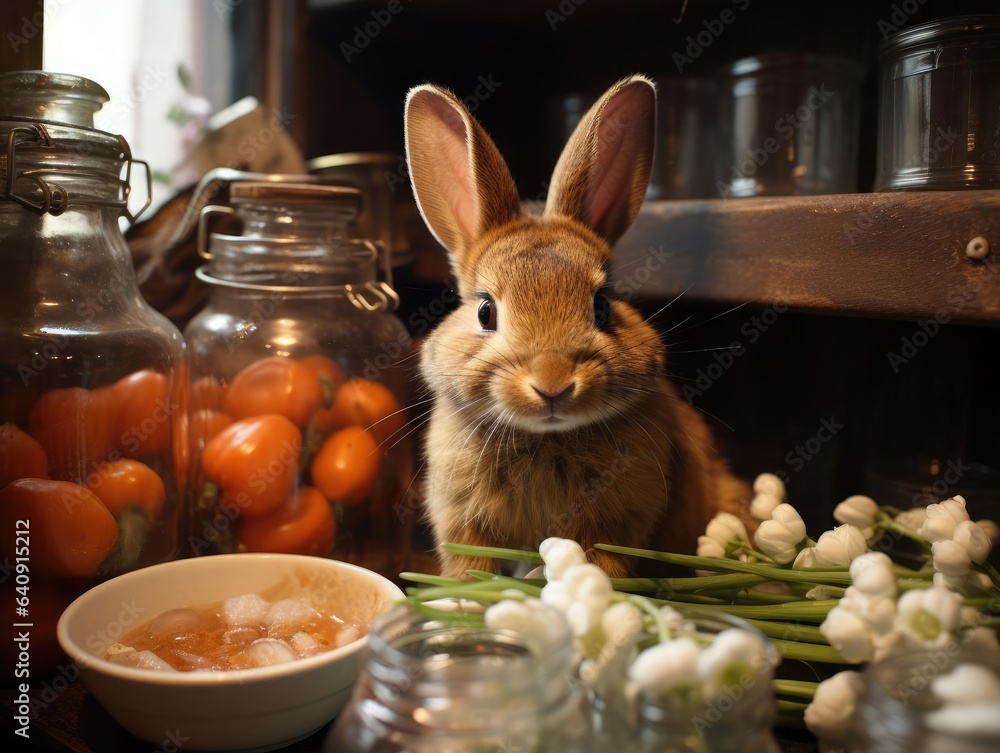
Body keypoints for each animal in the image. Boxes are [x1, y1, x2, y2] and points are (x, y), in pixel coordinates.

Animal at [404, 75, 750, 580]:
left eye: (602, 306)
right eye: (486, 312)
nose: (553, 385)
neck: (545, 437)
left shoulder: (618, 524)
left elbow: (602, 562)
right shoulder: (463, 521)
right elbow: (470, 564)